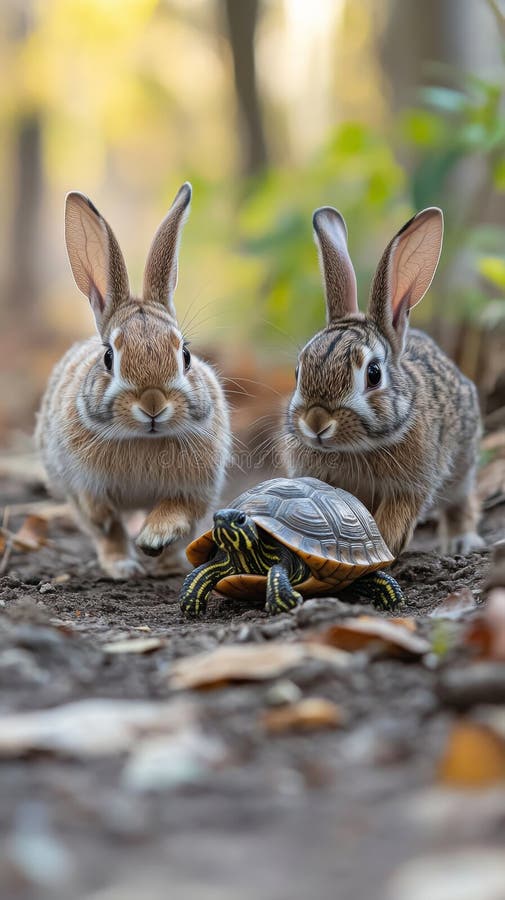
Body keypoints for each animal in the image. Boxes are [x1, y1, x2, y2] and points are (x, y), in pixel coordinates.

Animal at [36, 183, 230, 579]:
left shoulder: (196, 488)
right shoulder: (85, 490)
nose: (153, 403)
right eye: (109, 357)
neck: (143, 439)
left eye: (185, 355)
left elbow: (178, 513)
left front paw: (155, 540)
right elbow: (107, 525)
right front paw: (123, 565)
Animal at [284, 205, 483, 558]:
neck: (356, 449)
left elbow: (393, 521)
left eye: (373, 374)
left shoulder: (410, 487)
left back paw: (461, 540)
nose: (316, 422)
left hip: (462, 464)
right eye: (298, 372)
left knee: (460, 501)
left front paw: (381, 552)